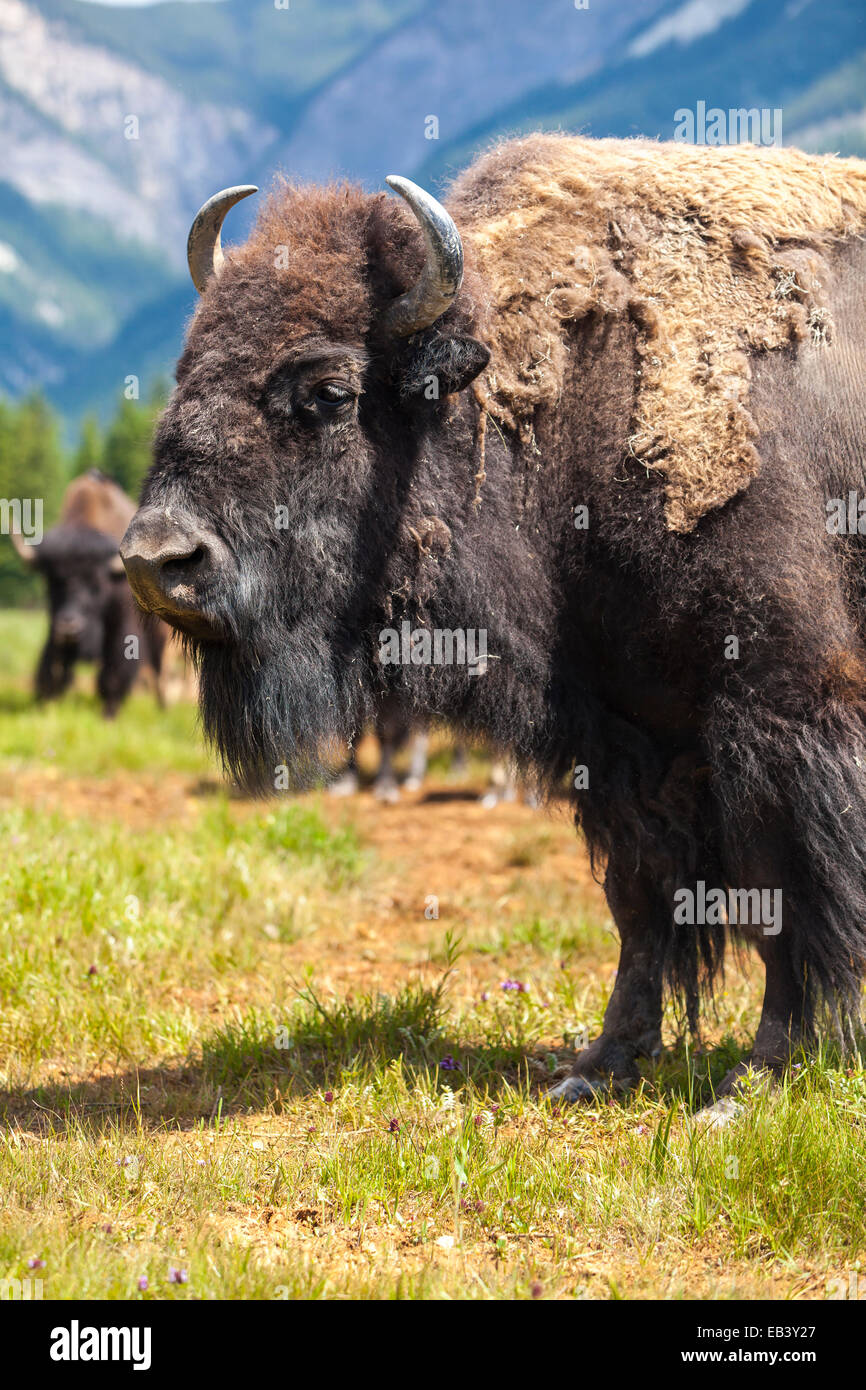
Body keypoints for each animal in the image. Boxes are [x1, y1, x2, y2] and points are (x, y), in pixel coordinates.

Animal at [120, 135, 866, 1110]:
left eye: (329, 391)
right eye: (187, 367)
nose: (156, 560)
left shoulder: (780, 708)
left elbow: (783, 895)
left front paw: (755, 1080)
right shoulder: (621, 739)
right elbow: (639, 896)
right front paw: (597, 1067)